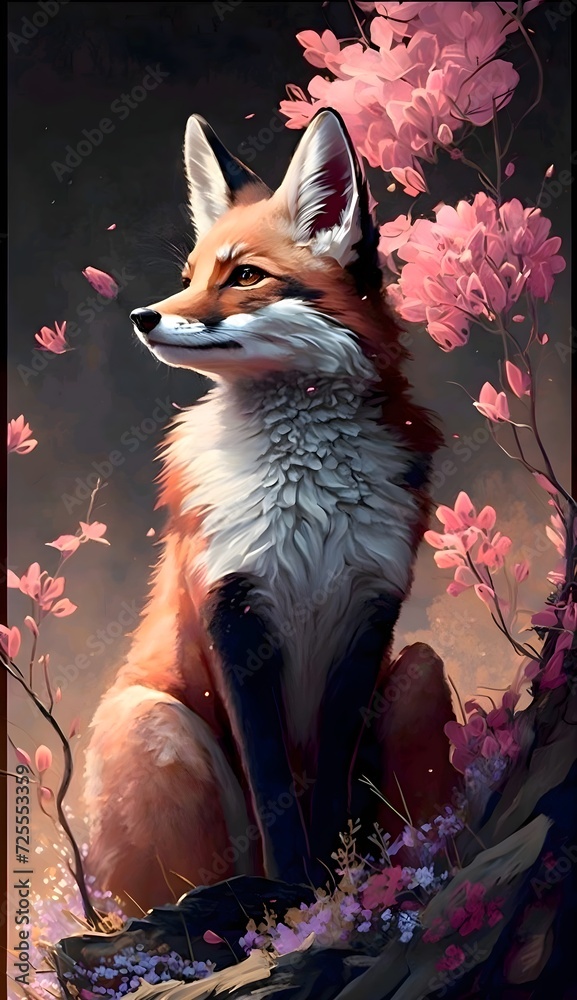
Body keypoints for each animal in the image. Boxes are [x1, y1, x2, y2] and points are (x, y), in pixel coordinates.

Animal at [84, 108, 456, 913]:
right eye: (190, 277)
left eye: (245, 276)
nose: (143, 316)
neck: (306, 504)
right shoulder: (235, 612)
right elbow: (273, 792)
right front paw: (297, 897)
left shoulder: (368, 614)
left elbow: (326, 796)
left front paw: (334, 889)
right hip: (155, 720)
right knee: (182, 888)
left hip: (419, 670)